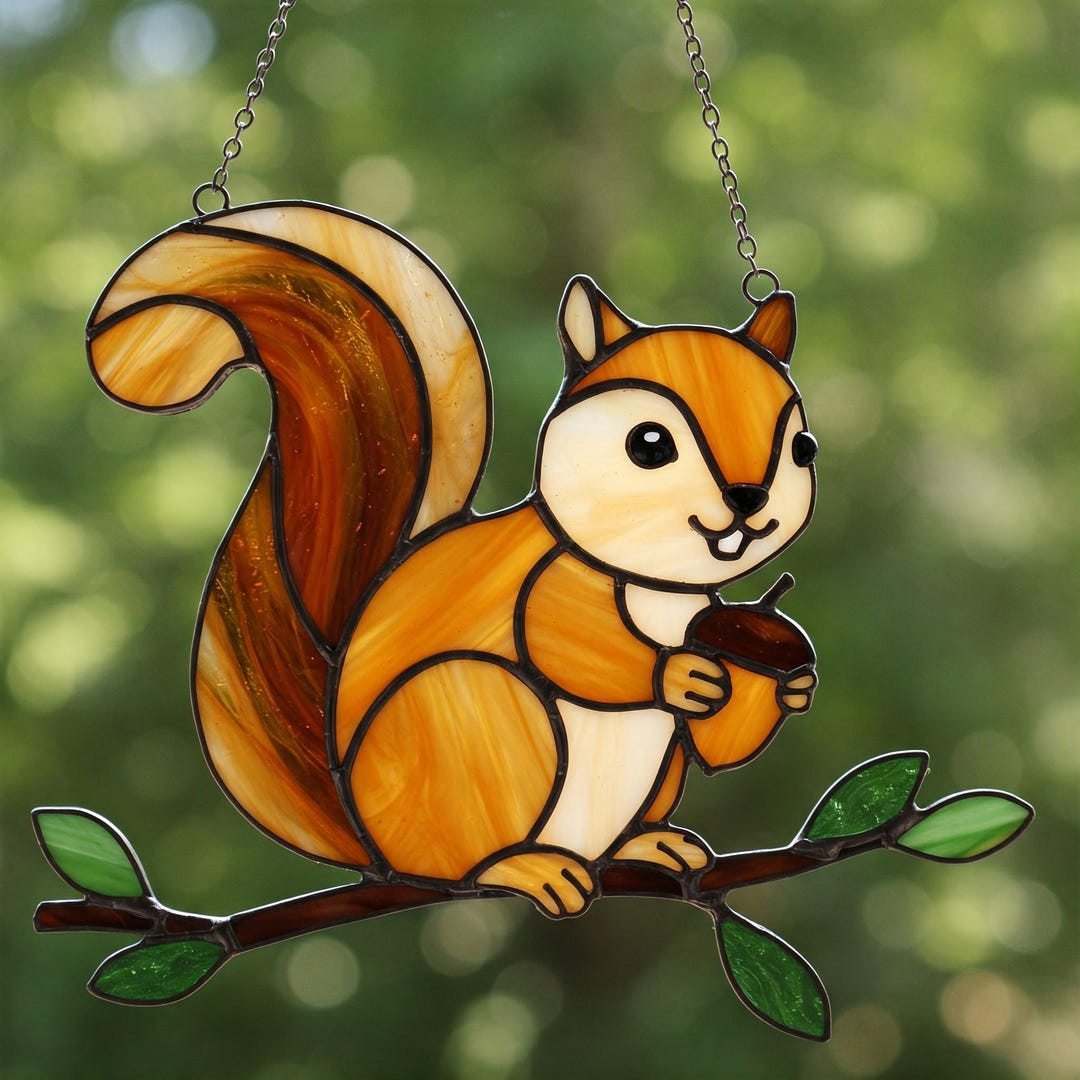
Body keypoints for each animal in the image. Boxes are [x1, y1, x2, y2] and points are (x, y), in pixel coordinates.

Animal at [87, 201, 818, 918]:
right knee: (465, 860)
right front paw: (677, 674)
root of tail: (369, 840)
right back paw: (527, 868)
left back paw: (650, 845)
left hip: (654, 775)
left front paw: (788, 689)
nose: (749, 500)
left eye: (802, 449)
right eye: (649, 444)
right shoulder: (552, 580)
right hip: (475, 716)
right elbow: (568, 643)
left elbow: (717, 743)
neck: (660, 587)